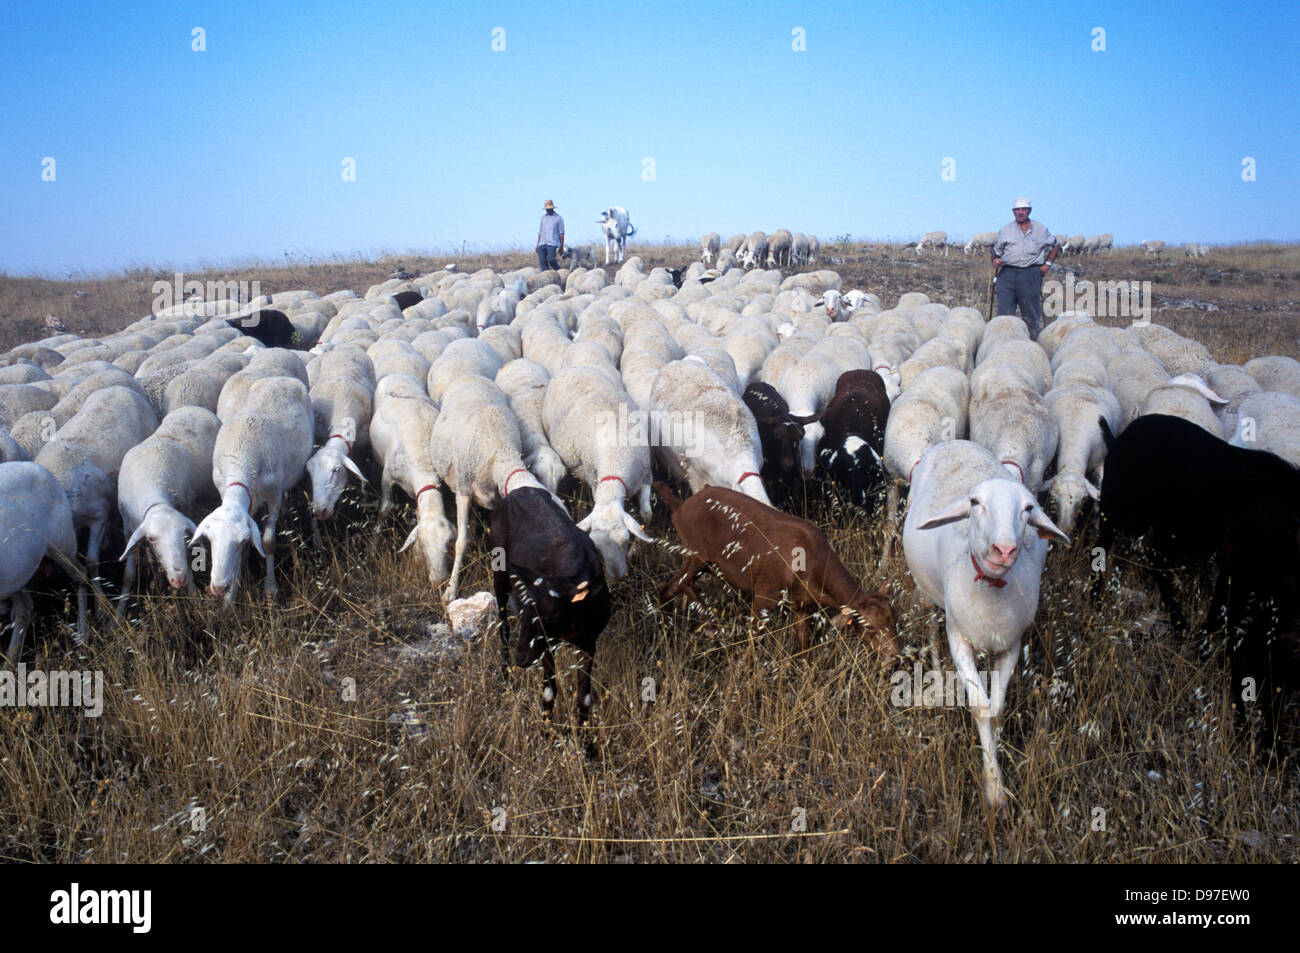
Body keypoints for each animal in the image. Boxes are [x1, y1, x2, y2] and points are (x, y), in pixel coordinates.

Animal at [0, 461, 82, 662]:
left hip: (62, 546)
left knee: (82, 579)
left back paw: (85, 635)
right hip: (18, 574)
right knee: (24, 611)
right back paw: (11, 662)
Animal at [116, 406, 221, 613]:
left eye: (184, 534)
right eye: (151, 538)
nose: (179, 580)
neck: (155, 500)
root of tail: (194, 408)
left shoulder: (186, 506)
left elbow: (188, 558)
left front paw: (193, 596)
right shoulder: (128, 528)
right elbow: (128, 575)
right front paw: (118, 614)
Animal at [192, 376, 315, 604]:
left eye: (238, 542)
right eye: (210, 540)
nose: (218, 587)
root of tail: (281, 378)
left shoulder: (273, 496)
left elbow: (268, 542)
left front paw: (270, 589)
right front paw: (229, 600)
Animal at [368, 374, 455, 586]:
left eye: (449, 543)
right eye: (423, 544)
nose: (439, 580)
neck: (423, 463)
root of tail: (397, 374)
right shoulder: (388, 477)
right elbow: (385, 509)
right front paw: (373, 551)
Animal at [902, 439, 1070, 808]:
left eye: (1027, 508)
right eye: (975, 503)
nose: (1003, 549)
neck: (991, 594)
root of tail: (955, 441)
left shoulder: (1010, 645)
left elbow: (998, 707)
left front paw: (1000, 748)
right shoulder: (960, 640)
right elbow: (980, 708)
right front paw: (993, 786)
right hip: (927, 591)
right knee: (932, 626)